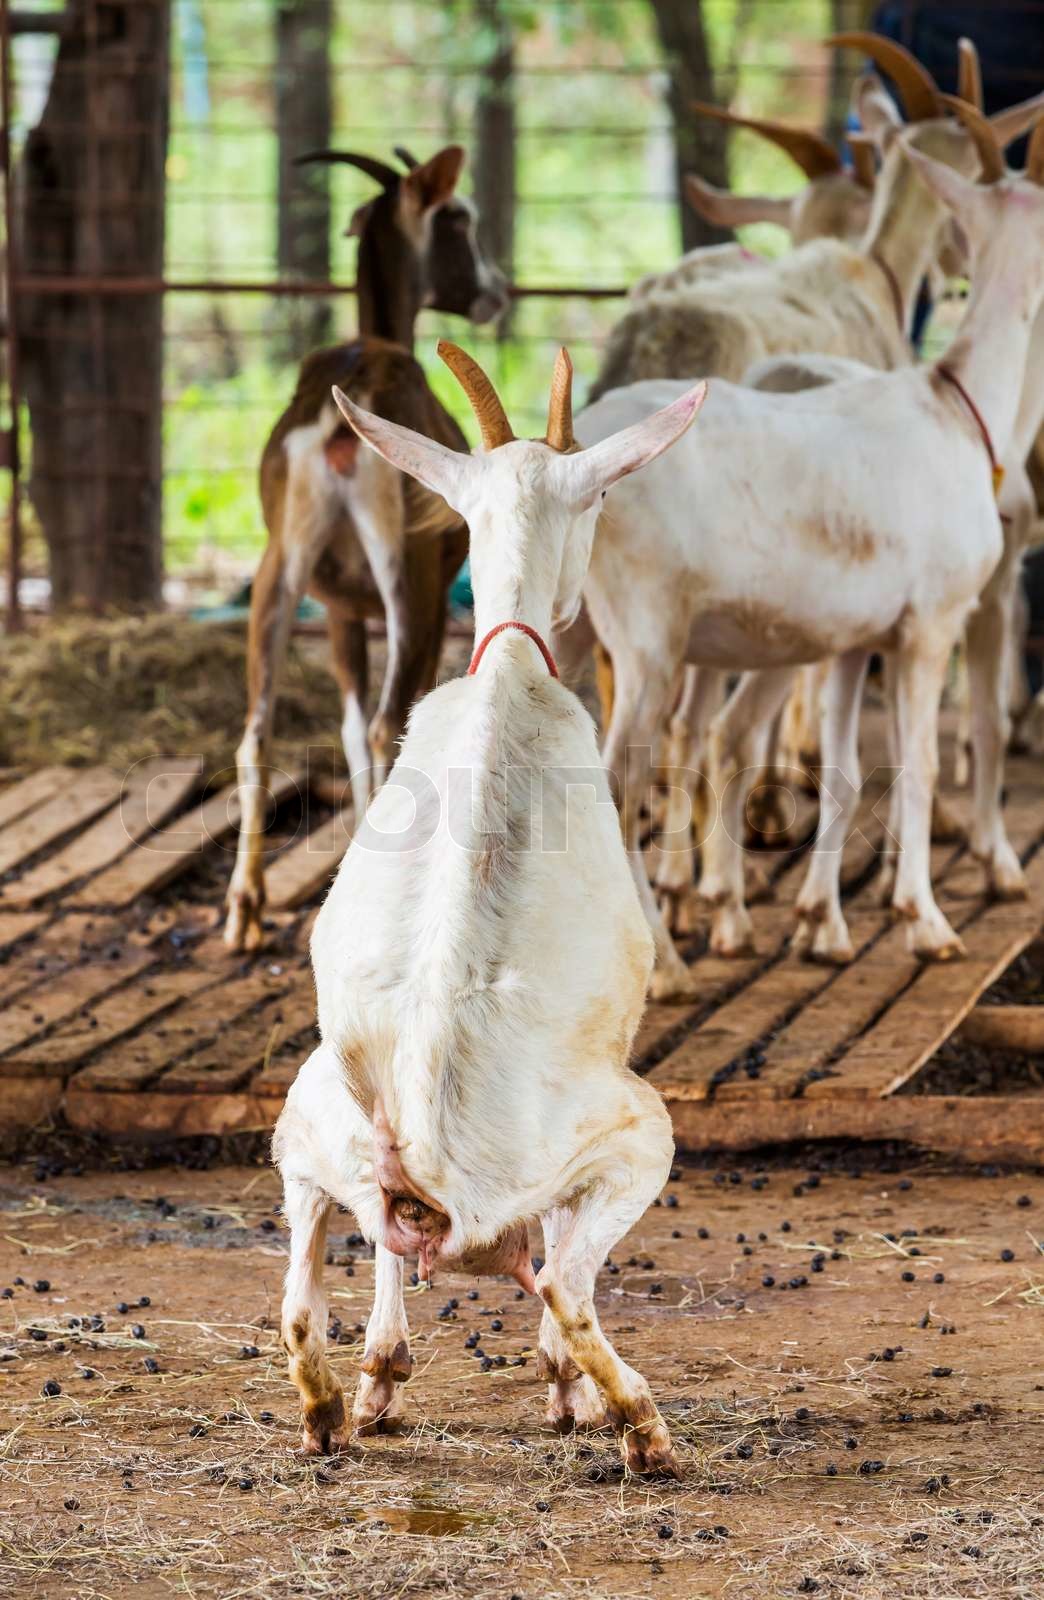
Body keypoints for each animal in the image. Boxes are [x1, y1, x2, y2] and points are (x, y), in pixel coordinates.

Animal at [225, 146, 508, 952]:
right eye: (458, 217)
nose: (497, 291)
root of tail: (336, 417)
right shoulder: (415, 593)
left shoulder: (340, 608)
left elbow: (346, 731)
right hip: (404, 576)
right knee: (391, 726)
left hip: (281, 565)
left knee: (257, 734)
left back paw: (245, 907)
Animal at [272, 344, 704, 1473]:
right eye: (603, 502)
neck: (509, 657)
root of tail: (426, 1154)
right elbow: (554, 1258)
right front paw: (558, 1392)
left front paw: (383, 1379)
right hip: (631, 1132)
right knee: (562, 1279)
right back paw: (637, 1423)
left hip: (306, 1115)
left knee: (308, 1278)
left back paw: (335, 1403)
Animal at [574, 111, 1044, 1001]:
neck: (961, 411)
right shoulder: (932, 617)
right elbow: (924, 760)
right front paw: (926, 923)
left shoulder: (862, 634)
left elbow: (853, 767)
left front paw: (822, 923)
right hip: (648, 629)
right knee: (616, 780)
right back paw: (668, 966)